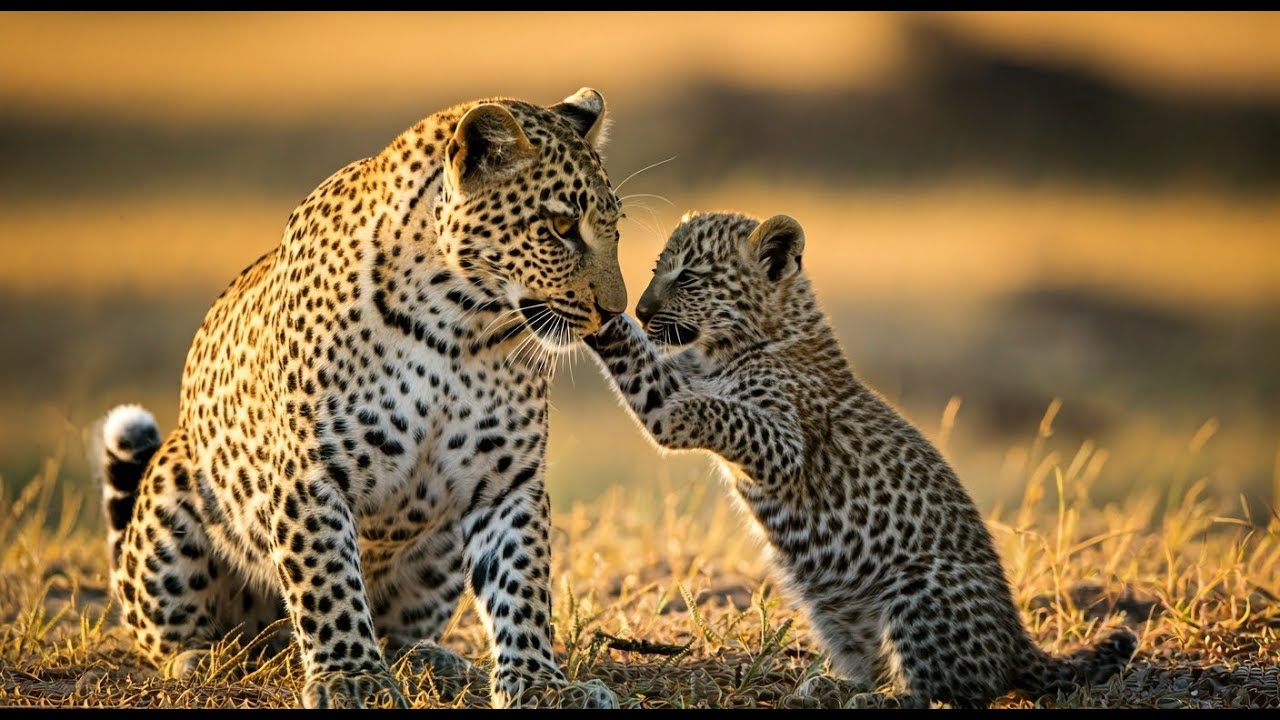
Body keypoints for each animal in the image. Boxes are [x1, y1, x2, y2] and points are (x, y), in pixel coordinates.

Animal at [94, 88, 628, 709]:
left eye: (614, 229)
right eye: (560, 226)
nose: (614, 312)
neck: (458, 327)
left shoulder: (506, 480)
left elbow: (520, 583)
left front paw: (542, 684)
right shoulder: (311, 472)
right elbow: (327, 579)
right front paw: (351, 676)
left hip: (437, 556)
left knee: (398, 632)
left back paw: (440, 662)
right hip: (171, 503)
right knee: (176, 632)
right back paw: (206, 658)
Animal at [584, 210, 1138, 708]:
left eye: (689, 277)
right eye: (657, 269)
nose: (643, 309)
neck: (731, 348)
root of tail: (1017, 642)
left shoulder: (785, 445)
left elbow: (720, 412)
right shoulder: (670, 388)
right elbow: (645, 370)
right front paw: (592, 309)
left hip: (920, 585)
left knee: (946, 694)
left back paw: (874, 699)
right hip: (834, 616)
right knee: (884, 670)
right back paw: (830, 688)